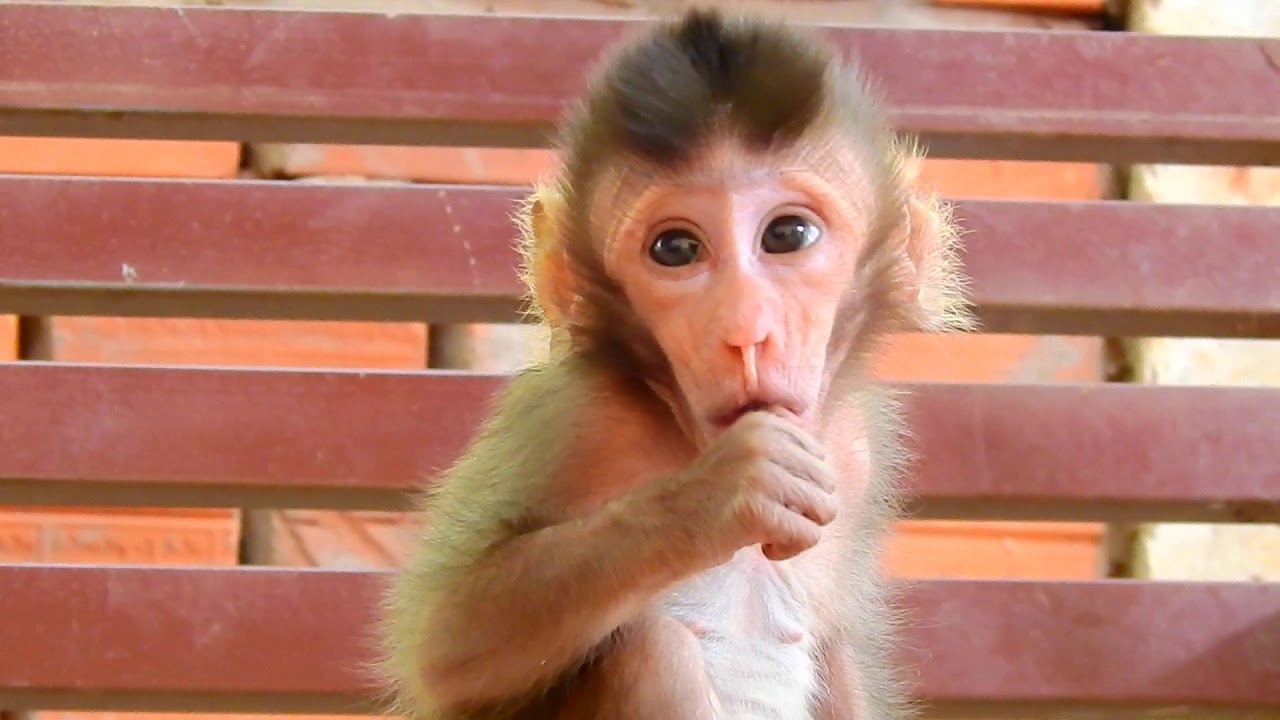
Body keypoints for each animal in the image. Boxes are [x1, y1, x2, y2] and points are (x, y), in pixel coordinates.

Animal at [374, 8, 973, 720]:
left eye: (787, 235)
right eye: (676, 249)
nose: (745, 331)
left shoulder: (855, 453)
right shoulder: (570, 417)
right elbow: (441, 640)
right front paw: (718, 494)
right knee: (650, 650)